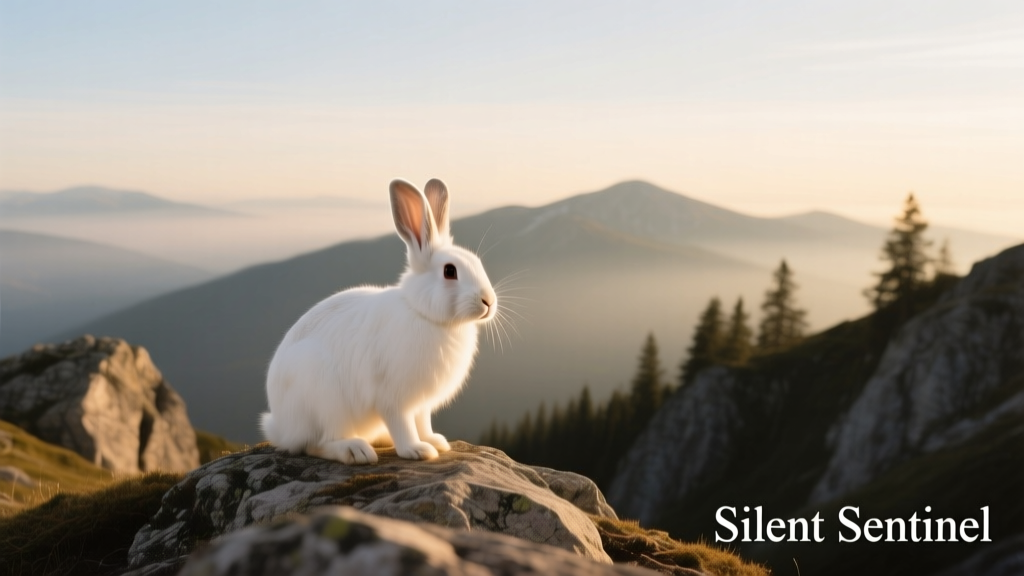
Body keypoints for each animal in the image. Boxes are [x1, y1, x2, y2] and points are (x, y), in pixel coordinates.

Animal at [260, 178, 497, 464]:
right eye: (449, 271)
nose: (488, 302)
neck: (422, 312)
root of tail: (281, 427)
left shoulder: (421, 404)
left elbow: (422, 422)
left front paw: (434, 441)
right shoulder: (393, 398)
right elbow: (402, 424)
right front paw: (416, 450)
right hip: (323, 397)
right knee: (317, 443)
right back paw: (356, 450)